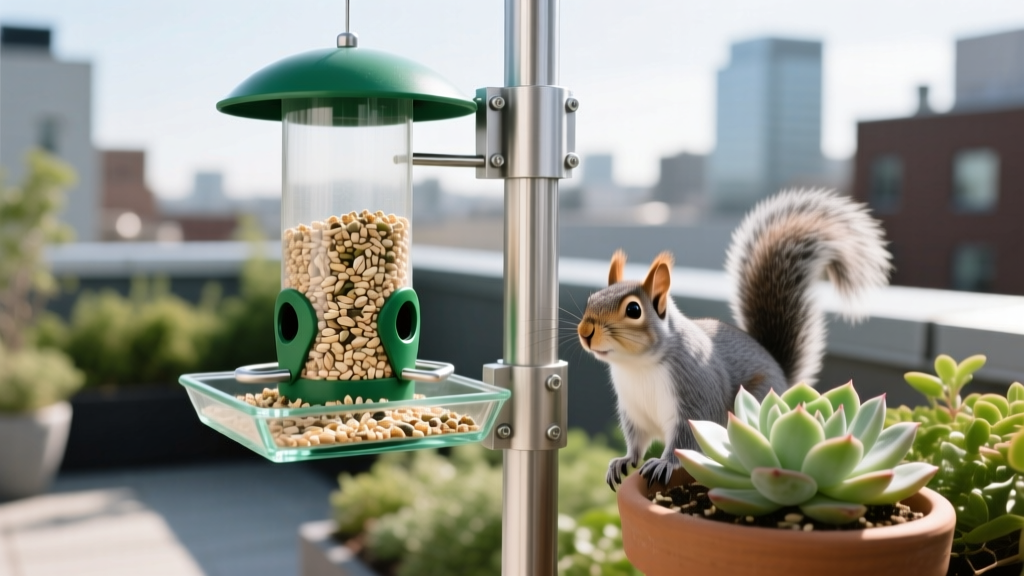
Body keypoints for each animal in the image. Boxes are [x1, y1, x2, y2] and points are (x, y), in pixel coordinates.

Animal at [576, 189, 892, 490]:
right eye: (591, 300)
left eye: (633, 310)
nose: (585, 332)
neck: (637, 367)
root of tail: (784, 379)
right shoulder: (633, 410)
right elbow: (636, 441)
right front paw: (623, 460)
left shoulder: (694, 392)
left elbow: (684, 439)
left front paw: (663, 464)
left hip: (757, 398)